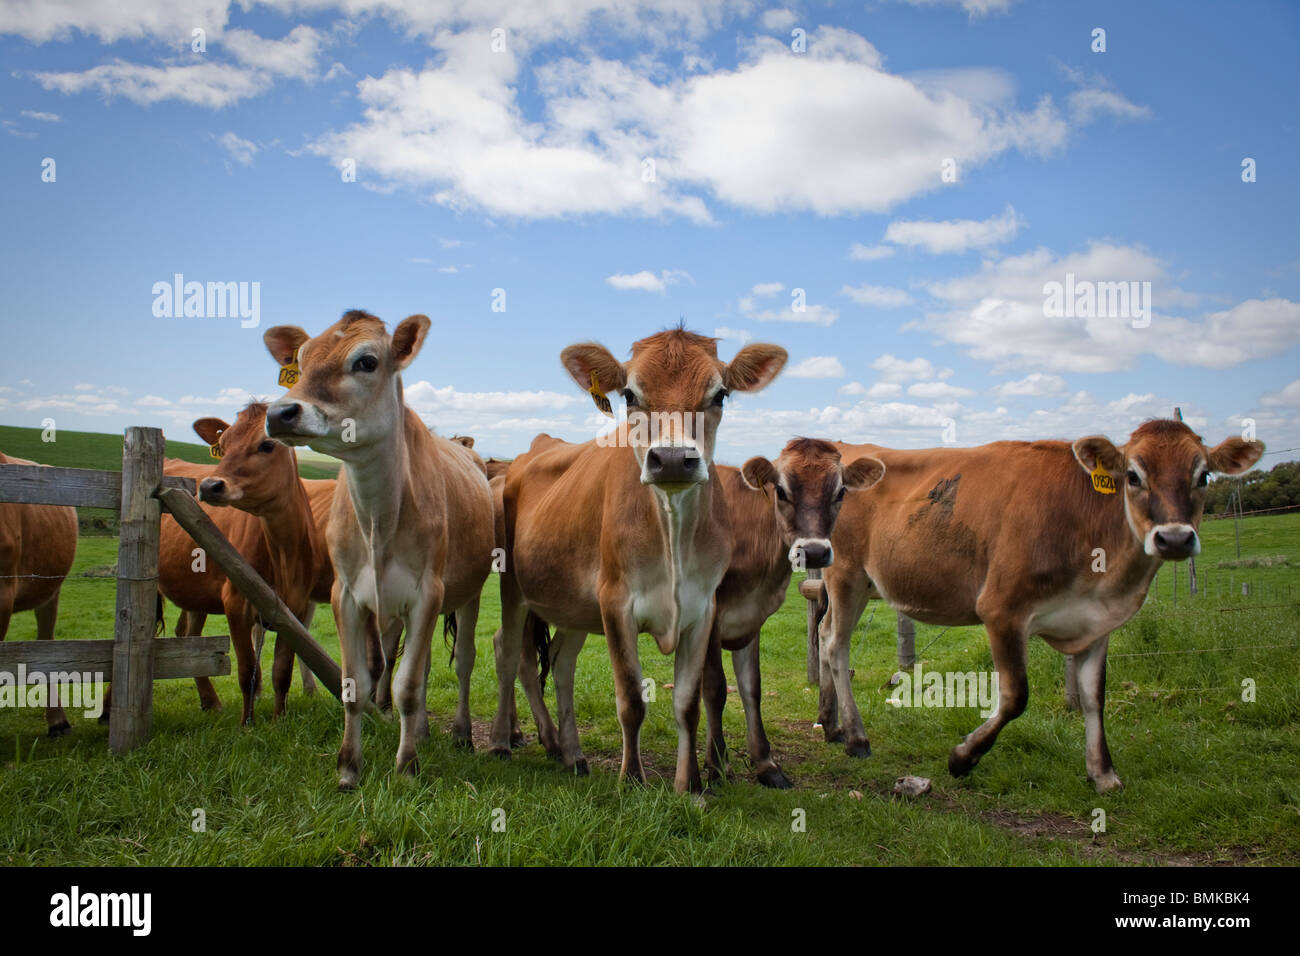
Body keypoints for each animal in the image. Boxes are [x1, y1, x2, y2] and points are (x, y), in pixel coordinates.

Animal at [263, 310, 495, 789]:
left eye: (366, 361)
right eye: (300, 361)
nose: (279, 412)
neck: (378, 520)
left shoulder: (428, 594)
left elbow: (405, 686)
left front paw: (406, 766)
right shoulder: (348, 595)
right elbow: (358, 683)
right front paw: (349, 767)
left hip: (469, 593)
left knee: (462, 662)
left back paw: (460, 733)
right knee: (415, 665)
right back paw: (421, 731)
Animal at [491, 328, 787, 794]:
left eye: (720, 394)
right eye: (629, 394)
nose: (672, 460)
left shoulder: (703, 610)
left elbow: (689, 702)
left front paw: (691, 784)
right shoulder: (616, 603)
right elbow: (630, 698)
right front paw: (631, 779)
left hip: (574, 606)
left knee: (561, 663)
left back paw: (571, 753)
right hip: (513, 589)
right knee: (508, 653)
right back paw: (504, 741)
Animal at [702, 439, 885, 788]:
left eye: (841, 491)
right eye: (781, 490)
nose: (812, 552)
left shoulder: (751, 616)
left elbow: (752, 687)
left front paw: (766, 765)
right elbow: (715, 688)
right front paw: (717, 766)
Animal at [814, 420, 1264, 792]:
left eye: (1203, 475)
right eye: (1134, 475)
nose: (1174, 539)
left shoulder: (1096, 622)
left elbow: (1093, 696)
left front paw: (1103, 773)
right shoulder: (1002, 609)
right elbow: (1015, 696)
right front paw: (963, 758)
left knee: (823, 634)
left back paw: (831, 724)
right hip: (846, 576)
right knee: (836, 644)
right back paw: (856, 737)